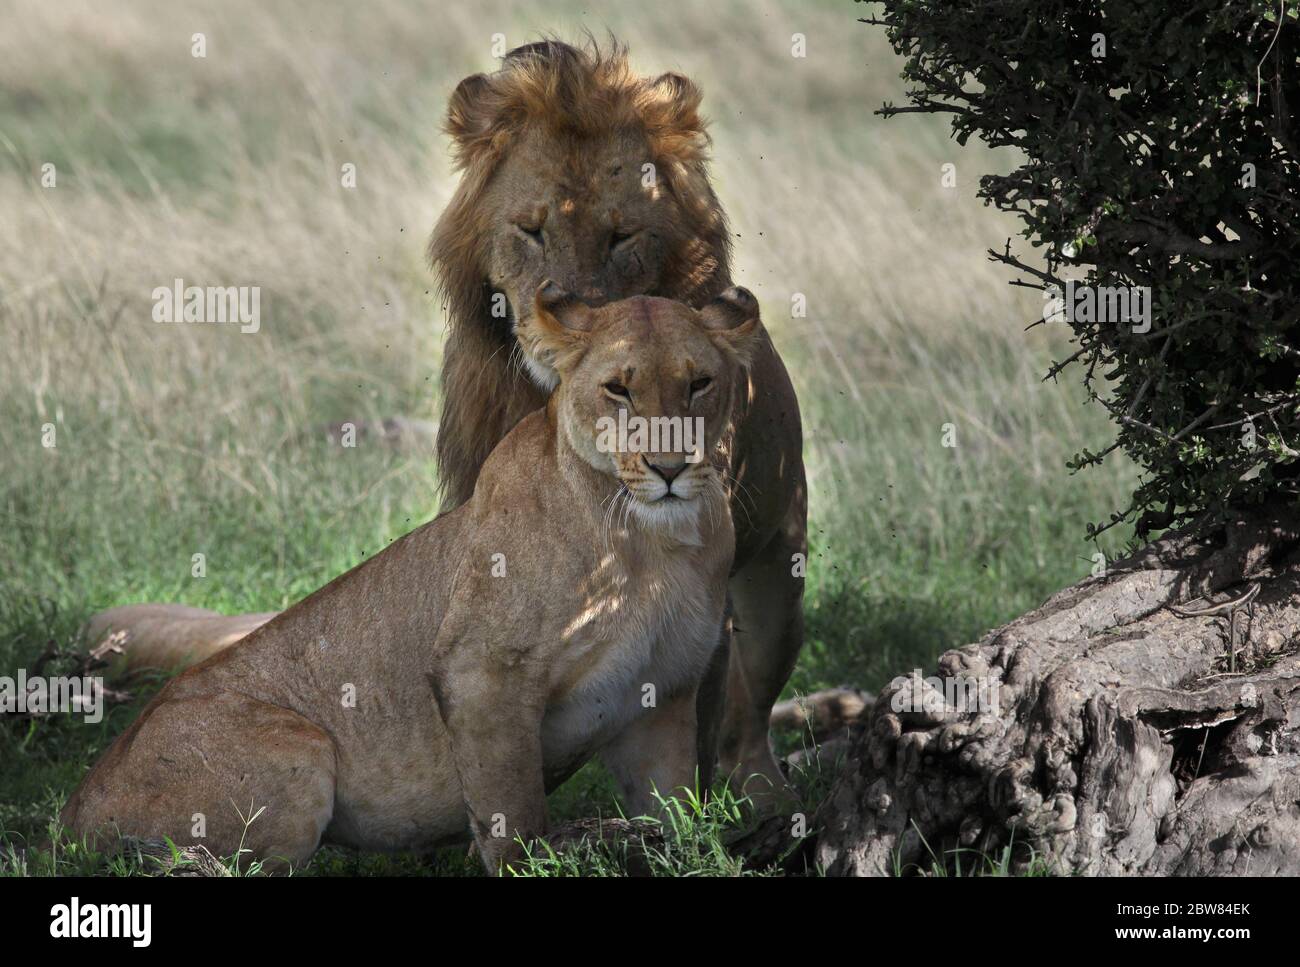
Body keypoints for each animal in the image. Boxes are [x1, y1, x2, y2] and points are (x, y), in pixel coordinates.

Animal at [61, 285, 760, 874]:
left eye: (699, 384)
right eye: (618, 389)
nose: (670, 467)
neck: (652, 544)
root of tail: (75, 807)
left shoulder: (662, 691)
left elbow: (676, 808)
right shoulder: (481, 670)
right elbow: (512, 810)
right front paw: (538, 859)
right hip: (299, 749)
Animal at [83, 38, 806, 807]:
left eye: (621, 236)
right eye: (531, 230)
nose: (565, 318)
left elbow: (696, 703)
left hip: (778, 579)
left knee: (748, 712)